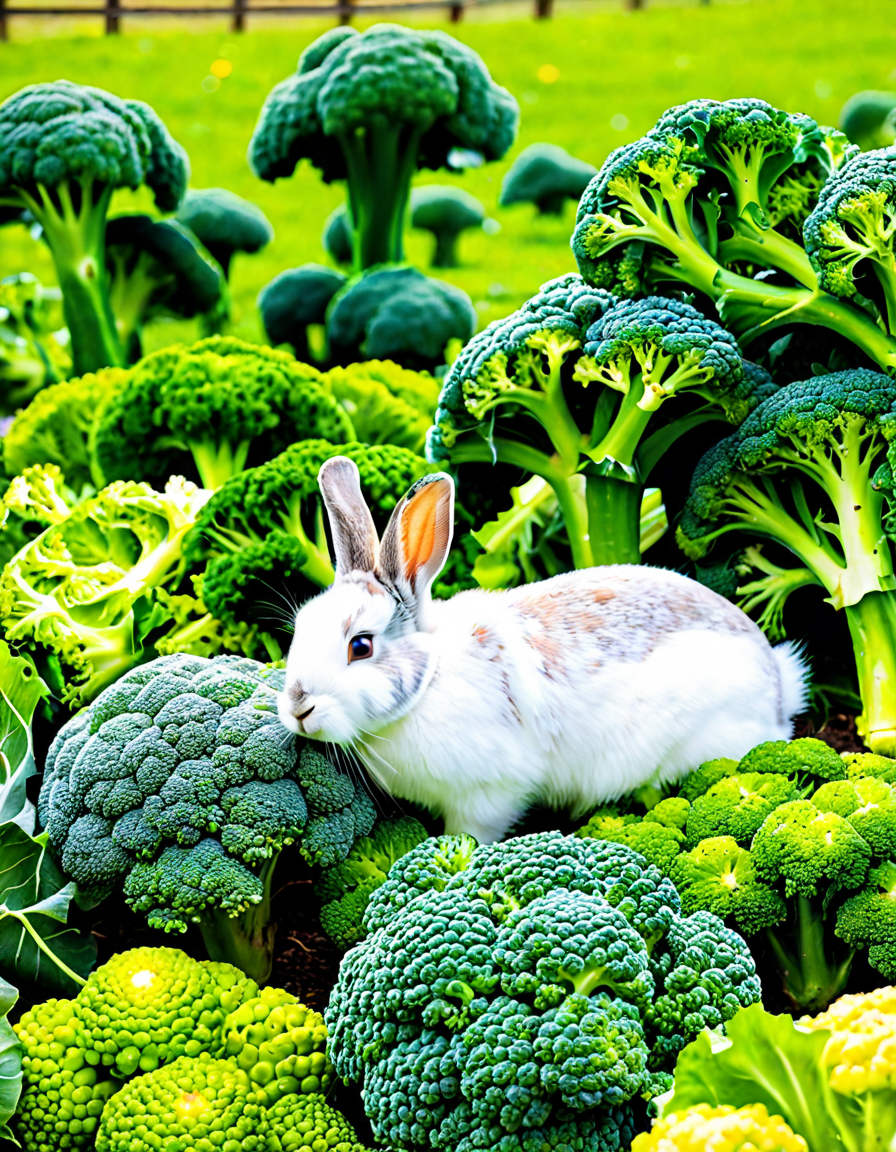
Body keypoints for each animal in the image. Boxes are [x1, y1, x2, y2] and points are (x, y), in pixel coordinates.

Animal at [277, 457, 809, 845]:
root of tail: (779, 689)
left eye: (360, 646)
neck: (430, 681)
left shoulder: (489, 793)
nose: (298, 706)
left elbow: (472, 834)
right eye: (300, 627)